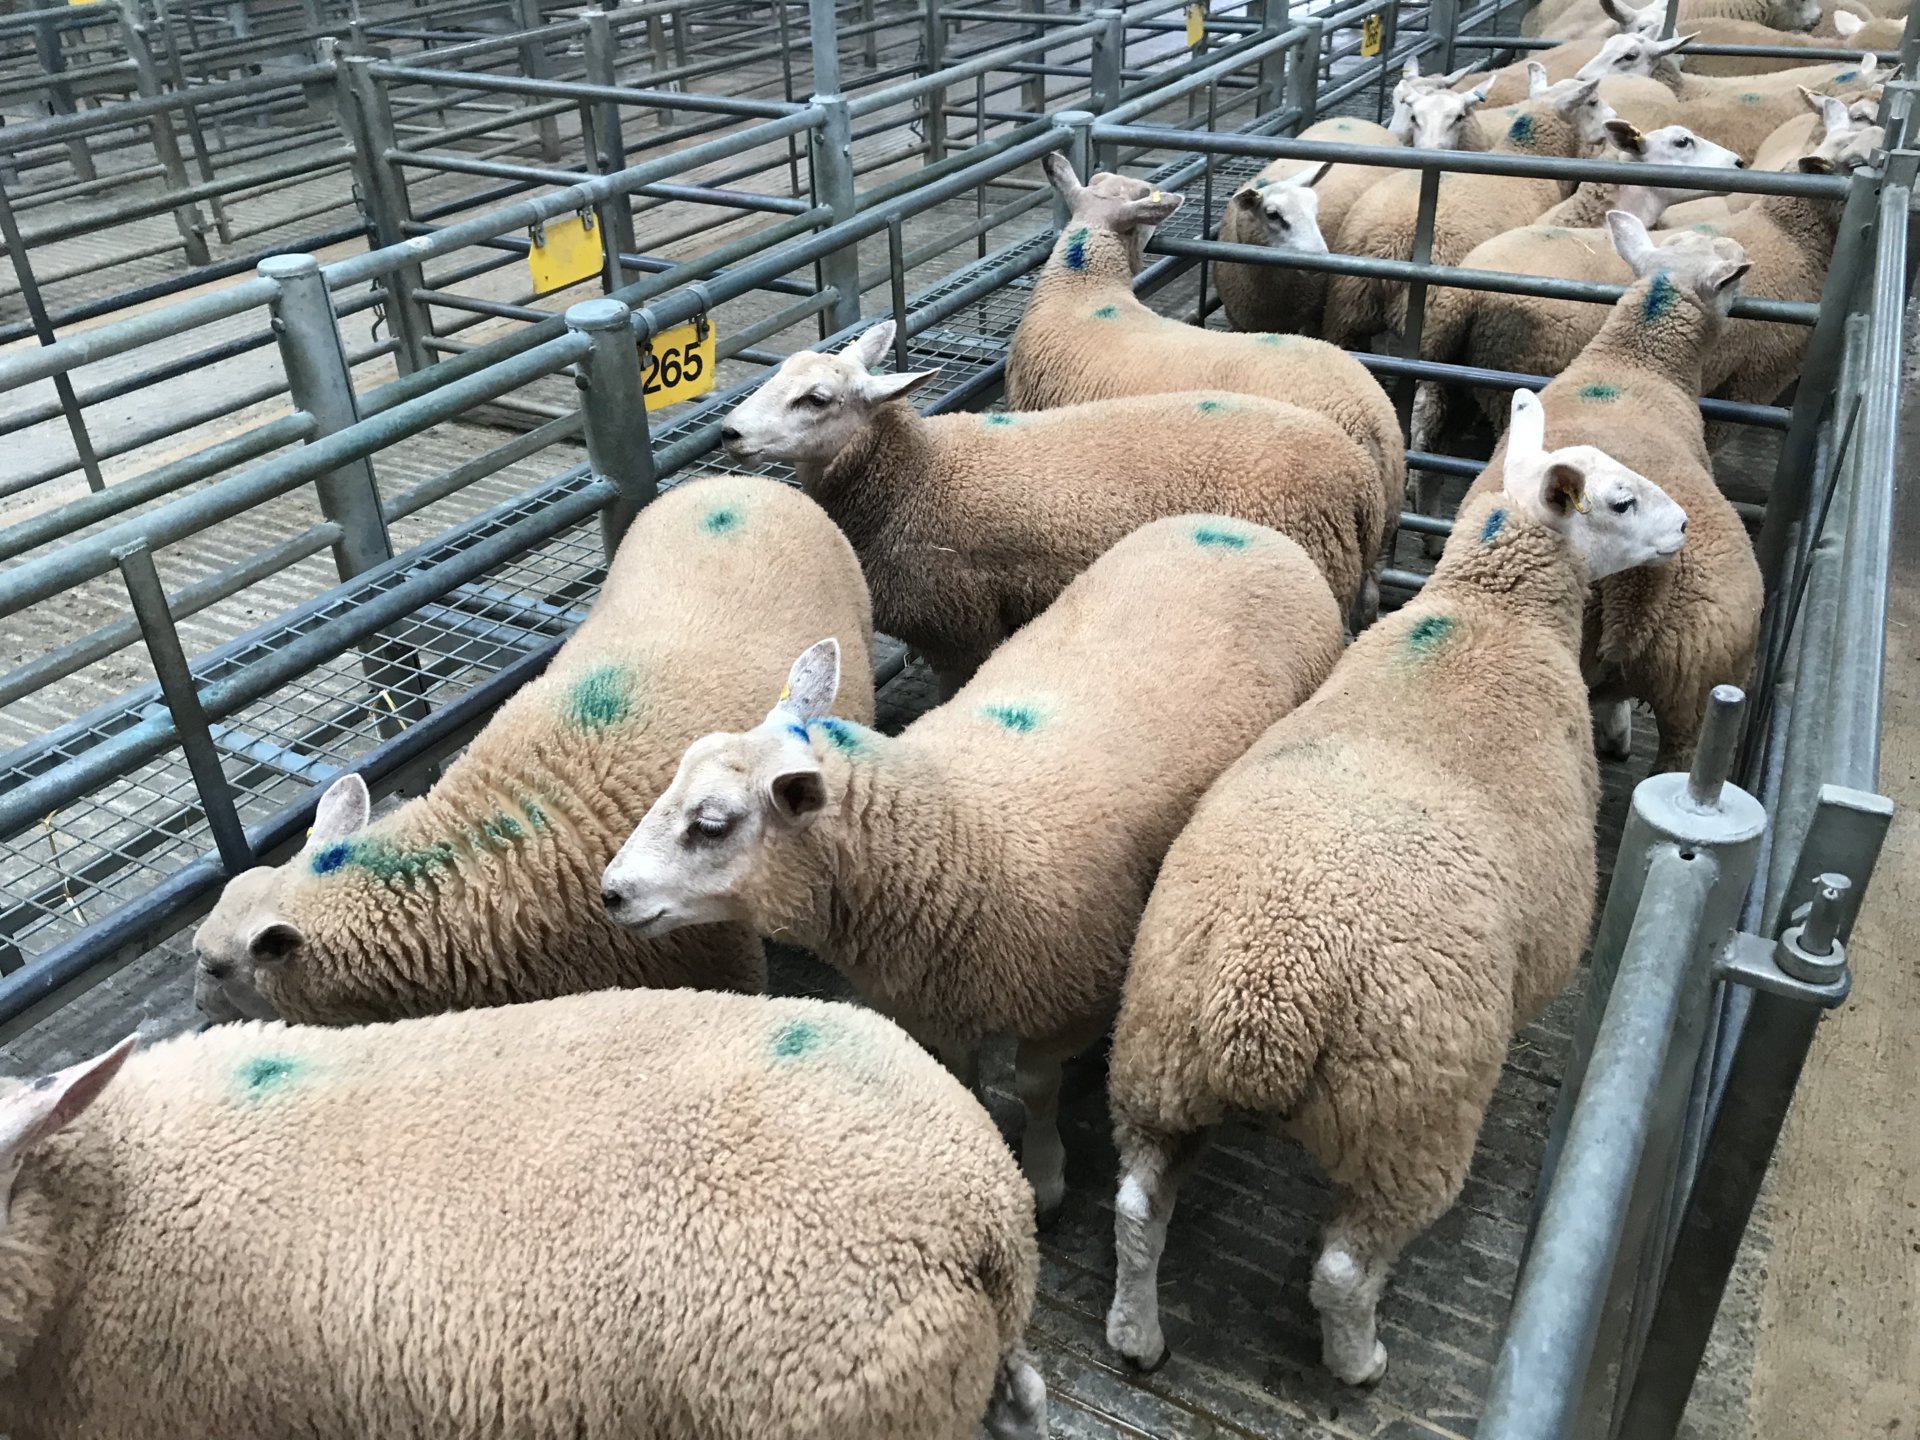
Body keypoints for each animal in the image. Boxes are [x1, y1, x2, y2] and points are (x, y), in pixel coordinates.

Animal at [600, 517, 1345, 1218]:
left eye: (711, 824)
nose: (610, 893)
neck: (956, 831)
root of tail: (1243, 528)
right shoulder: (927, 1007)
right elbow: (963, 1083)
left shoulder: (1064, 1000)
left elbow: (1035, 1088)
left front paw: (1044, 1178)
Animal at [1101, 388, 1688, 1385]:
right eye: (1620, 500)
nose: (1684, 525)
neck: (1490, 614)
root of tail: (1266, 1000)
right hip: (1407, 1122)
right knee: (1344, 1267)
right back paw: (1360, 1360)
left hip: (1157, 1064)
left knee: (1138, 1213)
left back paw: (1135, 1335)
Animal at [1324, 73, 1619, 351]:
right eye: (1593, 101)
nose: (1615, 118)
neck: (1528, 152)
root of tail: (1389, 242)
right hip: (1428, 321)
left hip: (1348, 312)